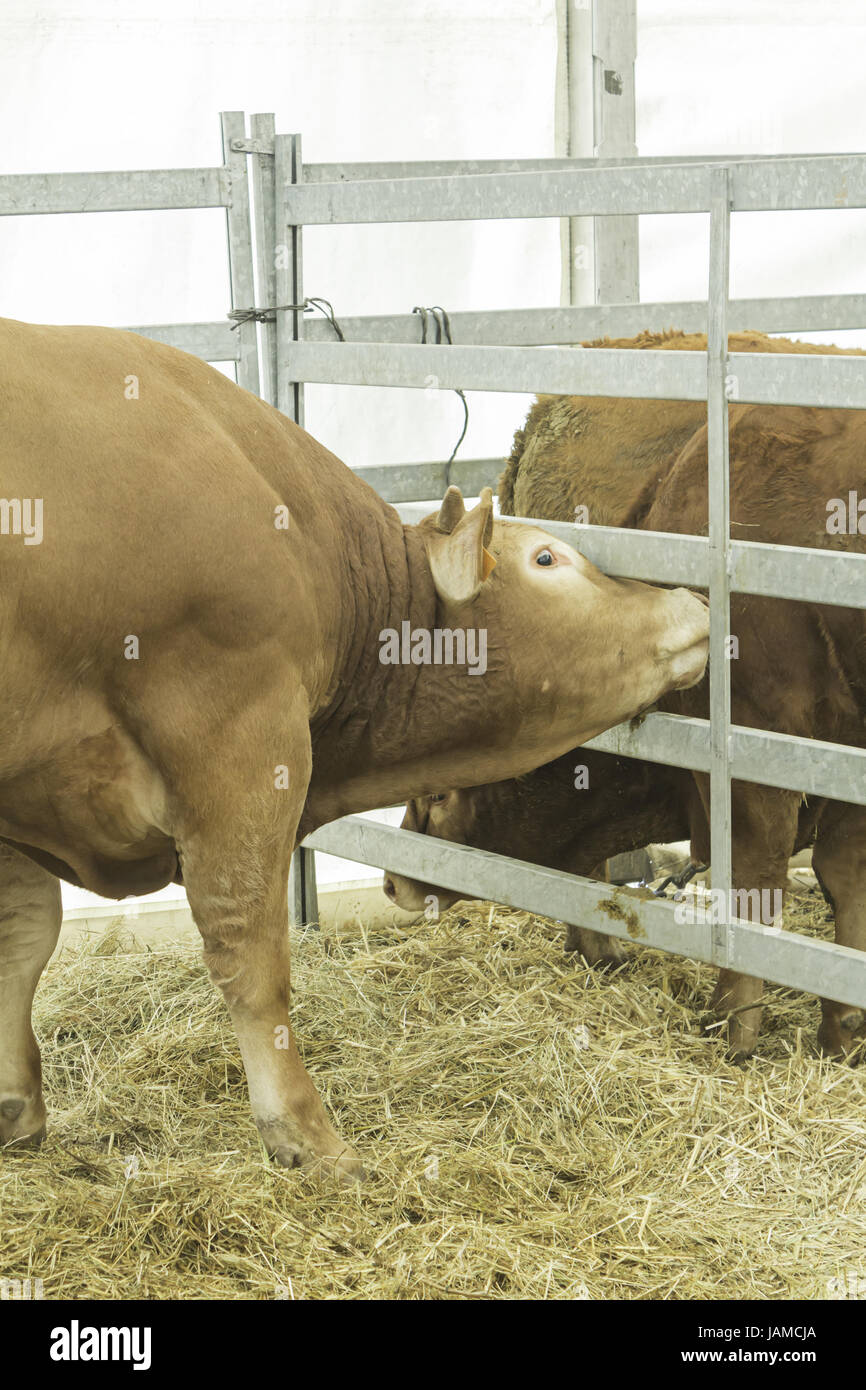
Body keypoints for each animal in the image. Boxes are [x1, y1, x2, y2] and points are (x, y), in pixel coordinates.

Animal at [0, 316, 710, 1178]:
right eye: (547, 558)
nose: (691, 601)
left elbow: (23, 938)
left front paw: (15, 1107)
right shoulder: (240, 740)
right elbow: (251, 948)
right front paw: (305, 1133)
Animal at [384, 330, 866, 1063]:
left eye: (438, 794)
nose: (393, 877)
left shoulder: (763, 749)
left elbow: (761, 878)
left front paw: (738, 1019)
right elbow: (838, 880)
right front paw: (837, 1025)